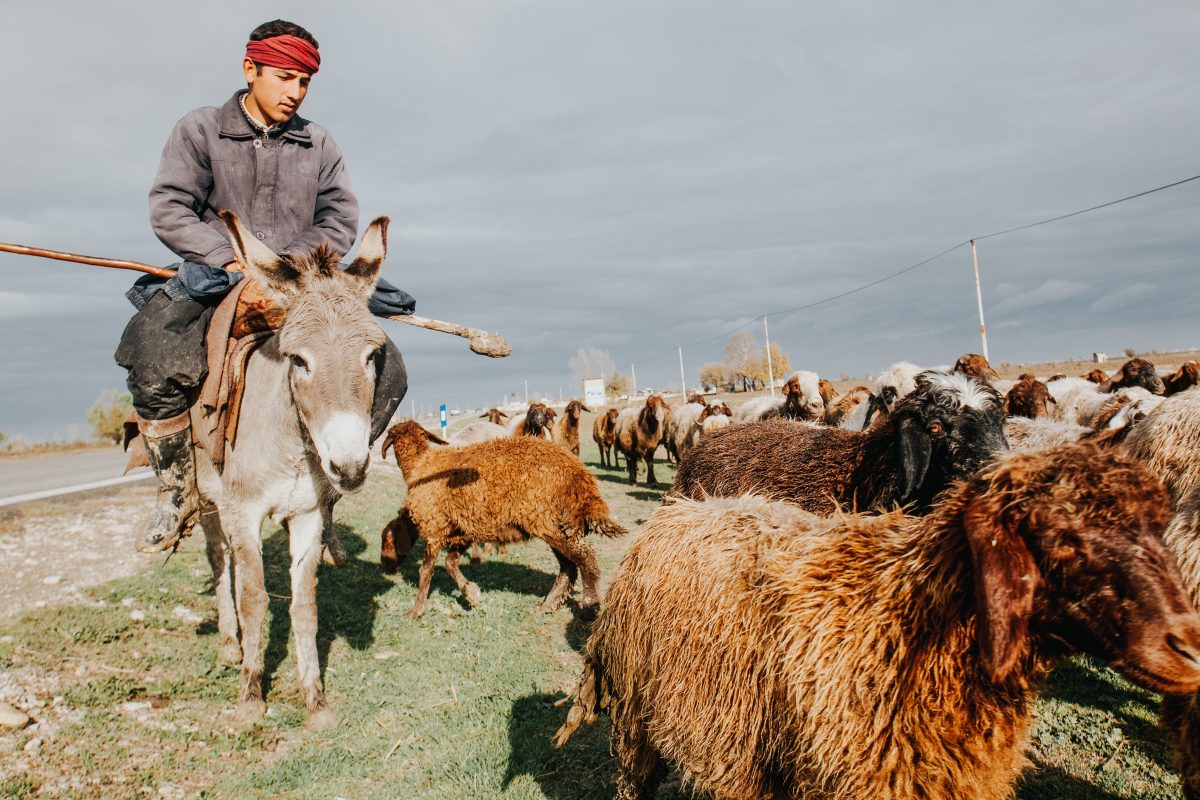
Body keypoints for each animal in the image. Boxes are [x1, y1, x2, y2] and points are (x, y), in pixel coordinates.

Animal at [377, 421, 626, 618]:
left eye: (386, 540)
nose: (385, 566)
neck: (421, 465)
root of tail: (582, 478)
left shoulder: (433, 527)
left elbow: (426, 571)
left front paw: (415, 611)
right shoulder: (463, 531)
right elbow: (450, 564)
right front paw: (472, 593)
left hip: (548, 522)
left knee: (586, 558)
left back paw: (589, 607)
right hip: (555, 524)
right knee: (568, 566)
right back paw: (548, 605)